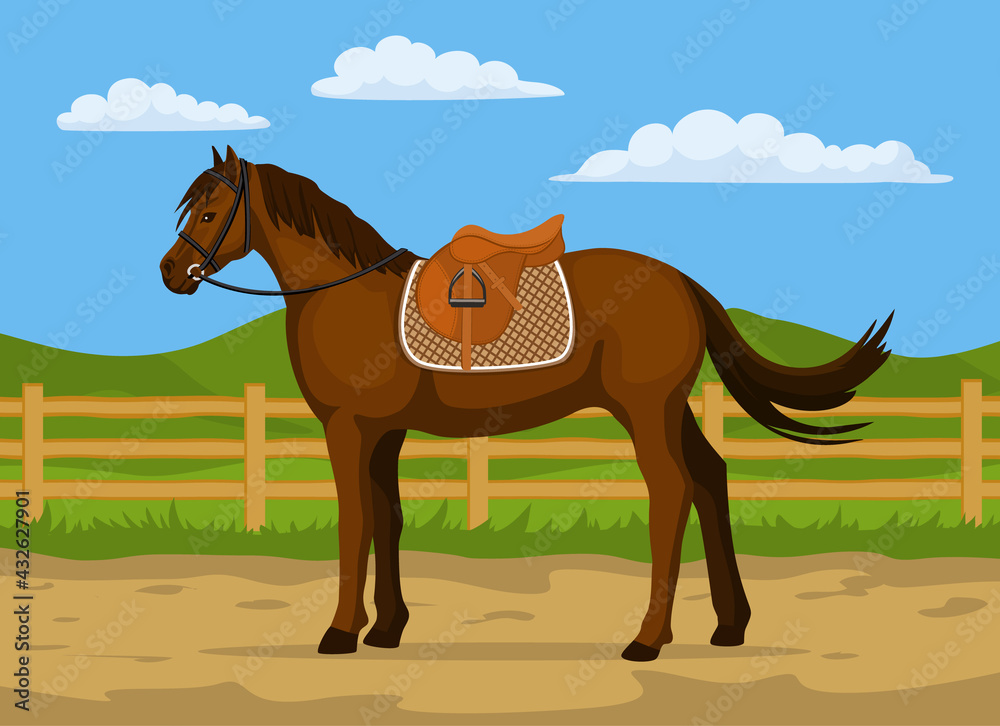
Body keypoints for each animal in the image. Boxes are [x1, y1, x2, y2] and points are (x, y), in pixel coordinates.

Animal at [160, 146, 891, 661]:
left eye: (208, 213)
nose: (171, 272)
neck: (346, 294)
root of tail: (681, 281)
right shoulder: (385, 433)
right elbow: (388, 518)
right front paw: (386, 629)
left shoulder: (349, 428)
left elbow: (355, 523)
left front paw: (340, 632)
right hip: (669, 407)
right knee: (711, 477)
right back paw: (729, 626)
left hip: (645, 408)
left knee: (671, 490)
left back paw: (647, 640)